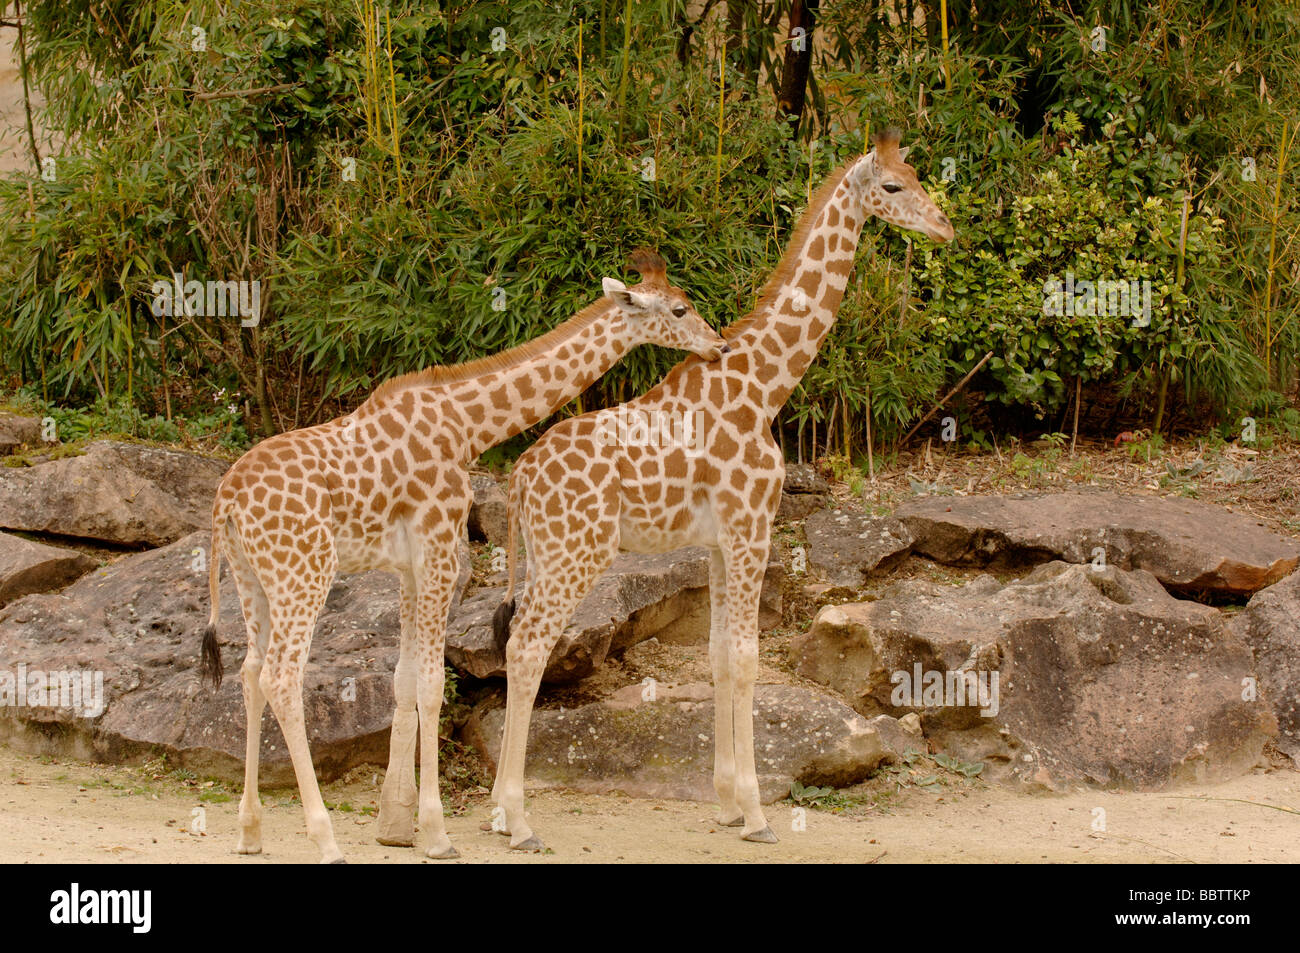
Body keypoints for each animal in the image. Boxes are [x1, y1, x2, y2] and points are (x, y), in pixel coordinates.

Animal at [197, 249, 729, 863]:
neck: (468, 426)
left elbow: (405, 679)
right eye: (679, 309)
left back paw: (249, 831)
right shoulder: (438, 549)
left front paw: (397, 824)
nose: (719, 346)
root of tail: (226, 499)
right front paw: (435, 833)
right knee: (283, 677)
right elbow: (433, 684)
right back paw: (324, 838)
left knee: (249, 674)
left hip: (251, 577)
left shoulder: (409, 565)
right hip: (303, 572)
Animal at [490, 130, 953, 849]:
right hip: (578, 553)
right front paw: (759, 814)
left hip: (543, 553)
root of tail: (518, 480)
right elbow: (746, 656)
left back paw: (495, 813)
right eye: (894, 186)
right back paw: (517, 820)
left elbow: (714, 657)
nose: (945, 227)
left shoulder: (715, 541)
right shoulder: (750, 526)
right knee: (529, 643)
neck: (766, 383)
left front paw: (728, 803)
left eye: (915, 171)